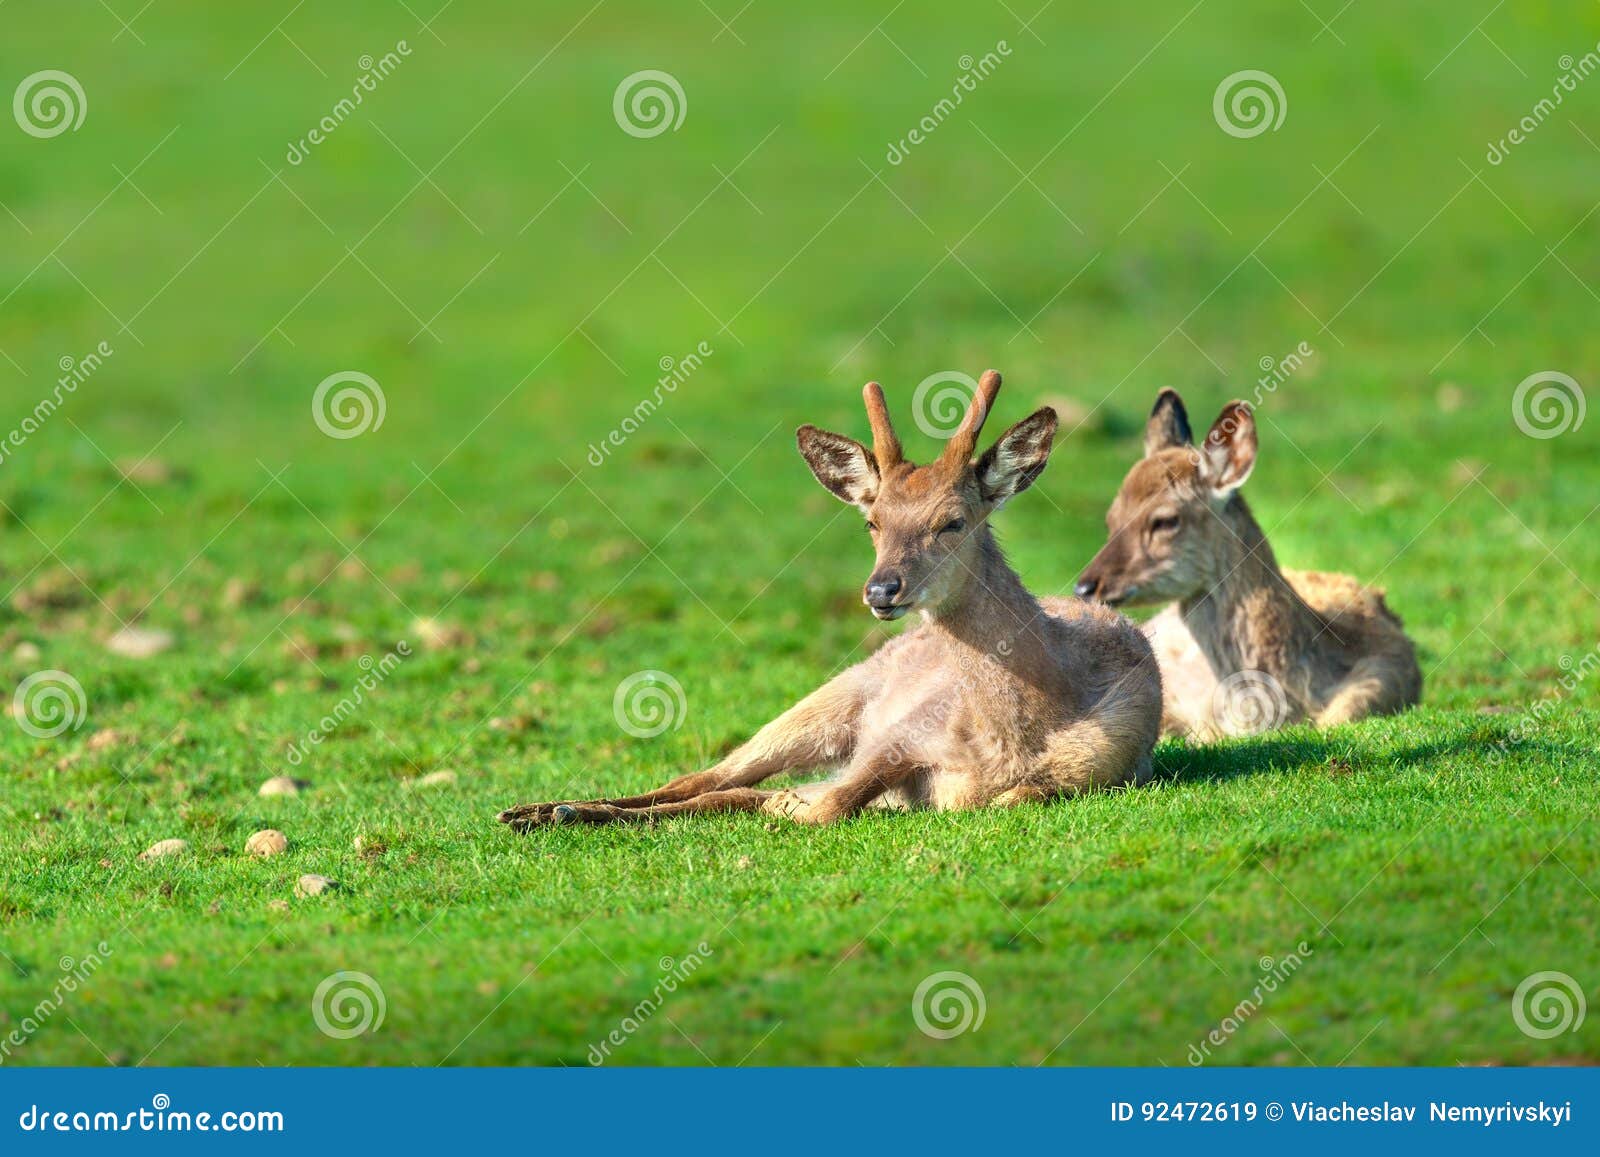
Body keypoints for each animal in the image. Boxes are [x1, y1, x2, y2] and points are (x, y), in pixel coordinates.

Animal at [498, 370, 1163, 830]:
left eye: (953, 521)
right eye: (872, 522)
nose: (881, 590)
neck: (1023, 733)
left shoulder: (1092, 767)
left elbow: (824, 802)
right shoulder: (903, 733)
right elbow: (818, 800)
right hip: (836, 694)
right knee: (707, 772)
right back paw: (539, 810)